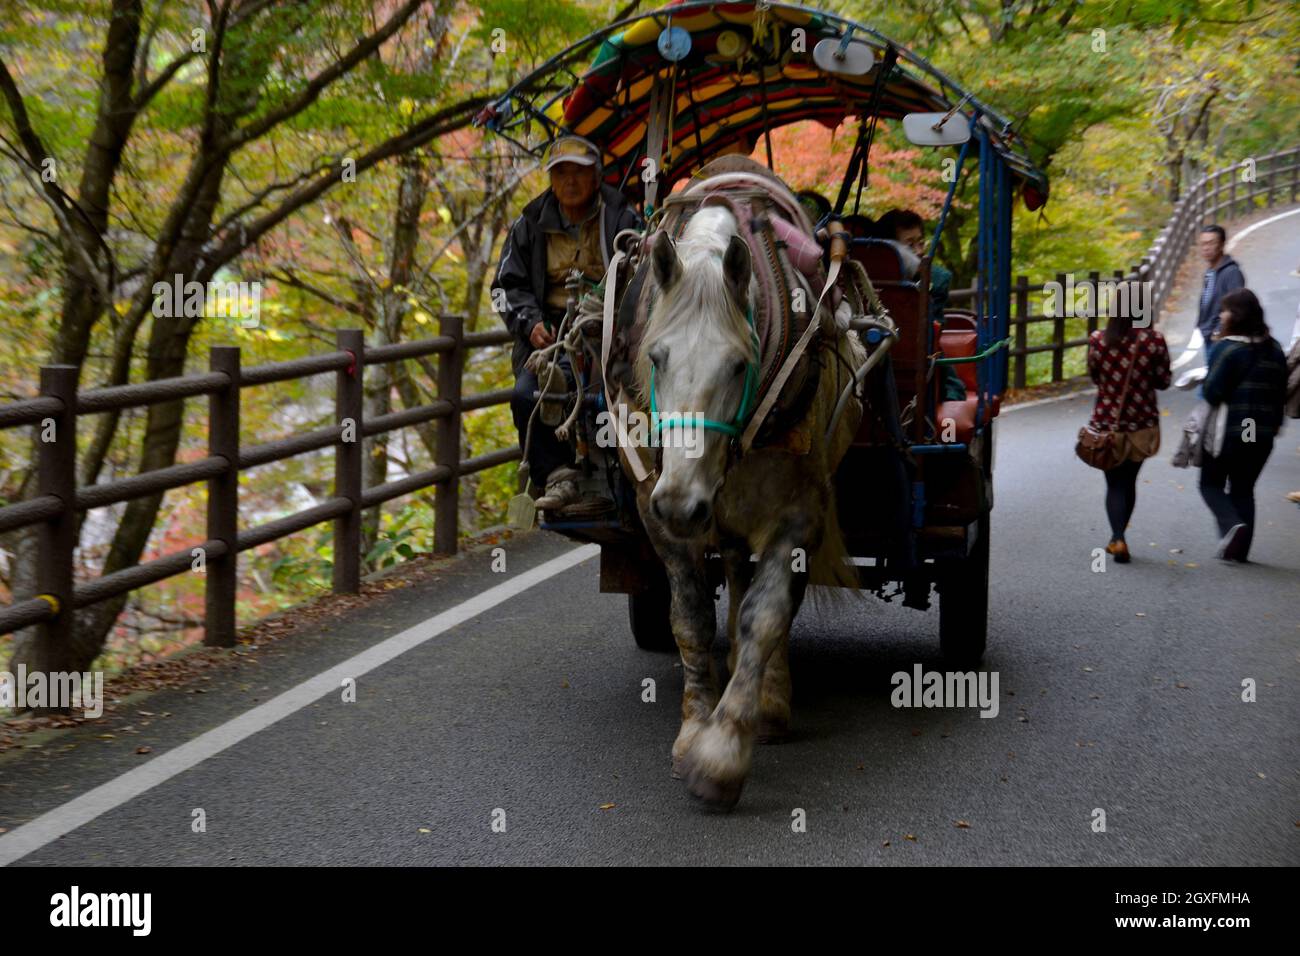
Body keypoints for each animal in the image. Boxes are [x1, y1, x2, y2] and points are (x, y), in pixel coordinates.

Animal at [627, 202, 867, 809]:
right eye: (656, 357)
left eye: (738, 365)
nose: (681, 504)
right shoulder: (653, 506)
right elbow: (690, 618)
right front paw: (694, 730)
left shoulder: (801, 515)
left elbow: (768, 616)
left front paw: (723, 753)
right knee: (735, 570)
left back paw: (768, 698)